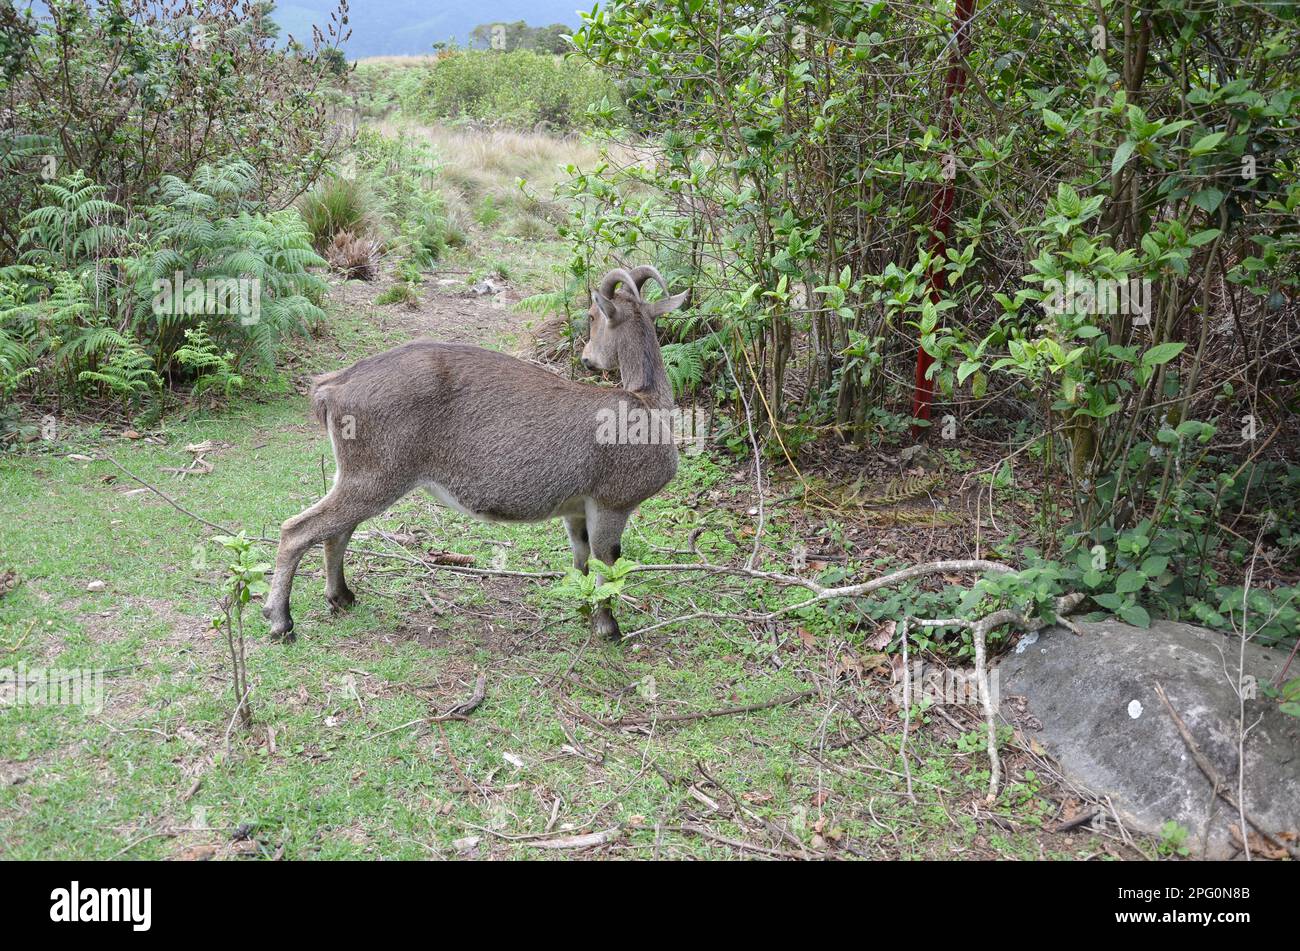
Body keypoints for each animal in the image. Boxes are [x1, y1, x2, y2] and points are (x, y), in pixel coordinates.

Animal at [262, 266, 688, 642]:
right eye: (591, 314)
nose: (587, 358)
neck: (648, 405)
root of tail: (332, 387)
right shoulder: (613, 502)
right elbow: (606, 560)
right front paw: (608, 628)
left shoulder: (577, 509)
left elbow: (582, 560)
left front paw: (584, 611)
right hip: (375, 476)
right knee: (297, 530)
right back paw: (280, 620)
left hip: (354, 474)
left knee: (337, 531)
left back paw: (342, 597)